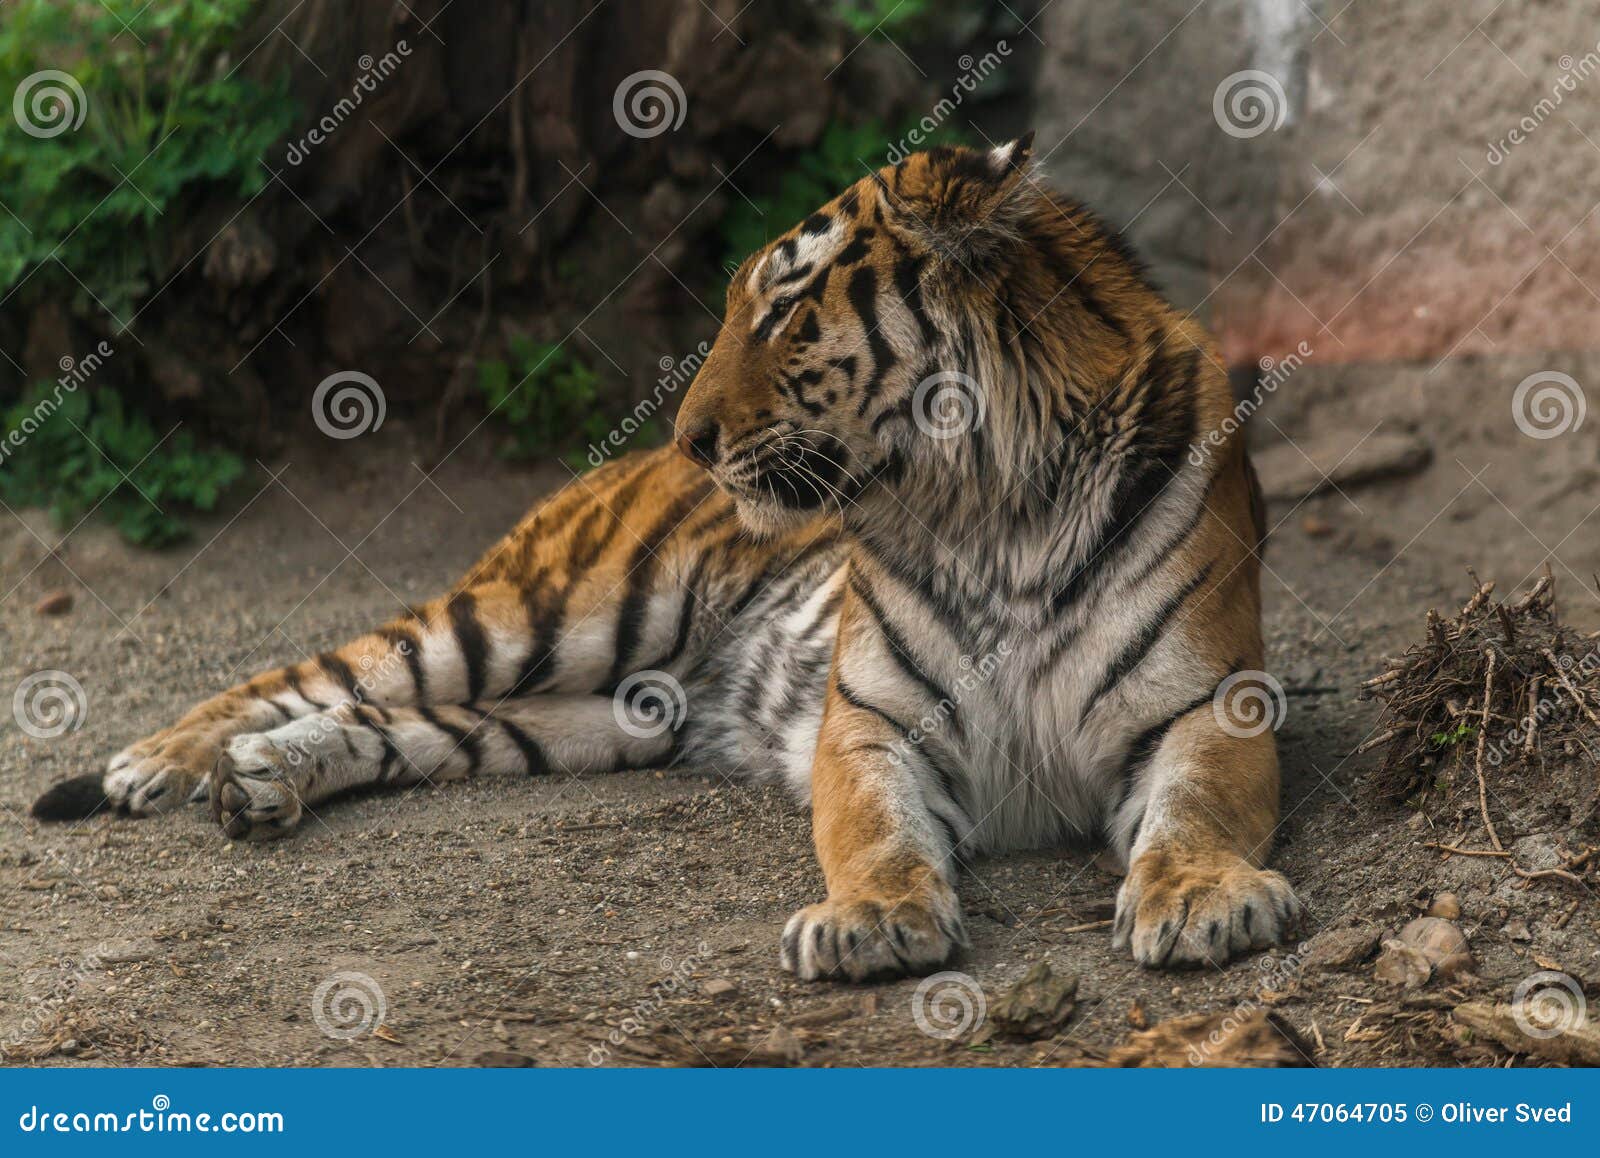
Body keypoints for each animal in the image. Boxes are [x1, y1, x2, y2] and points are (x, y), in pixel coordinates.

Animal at [33, 135, 1301, 977]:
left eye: (784, 311)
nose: (692, 438)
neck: (988, 504)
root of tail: (611, 466)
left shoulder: (1205, 704)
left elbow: (1195, 808)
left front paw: (1201, 900)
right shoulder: (871, 724)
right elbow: (874, 830)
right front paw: (872, 921)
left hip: (594, 717)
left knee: (395, 725)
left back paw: (263, 780)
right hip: (538, 618)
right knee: (305, 672)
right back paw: (160, 764)